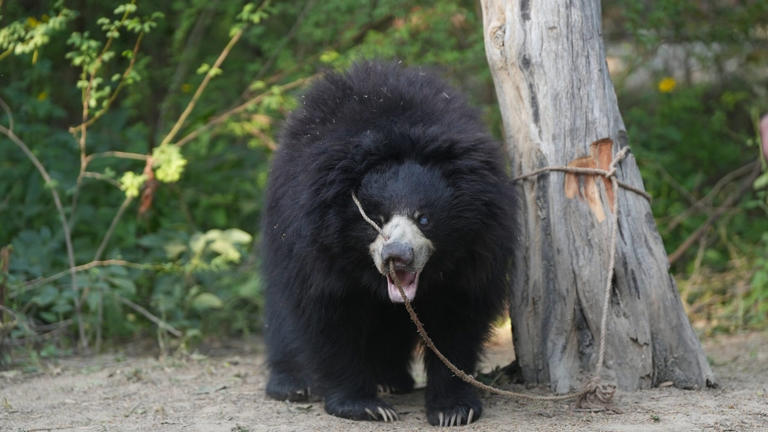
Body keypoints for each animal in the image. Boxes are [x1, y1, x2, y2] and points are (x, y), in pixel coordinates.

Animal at [262, 61, 515, 426]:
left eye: (424, 218)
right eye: (376, 219)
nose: (397, 256)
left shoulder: (478, 247)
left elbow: (458, 318)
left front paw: (453, 409)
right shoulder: (318, 245)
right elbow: (329, 314)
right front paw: (364, 405)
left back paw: (392, 379)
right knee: (282, 307)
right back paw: (291, 384)